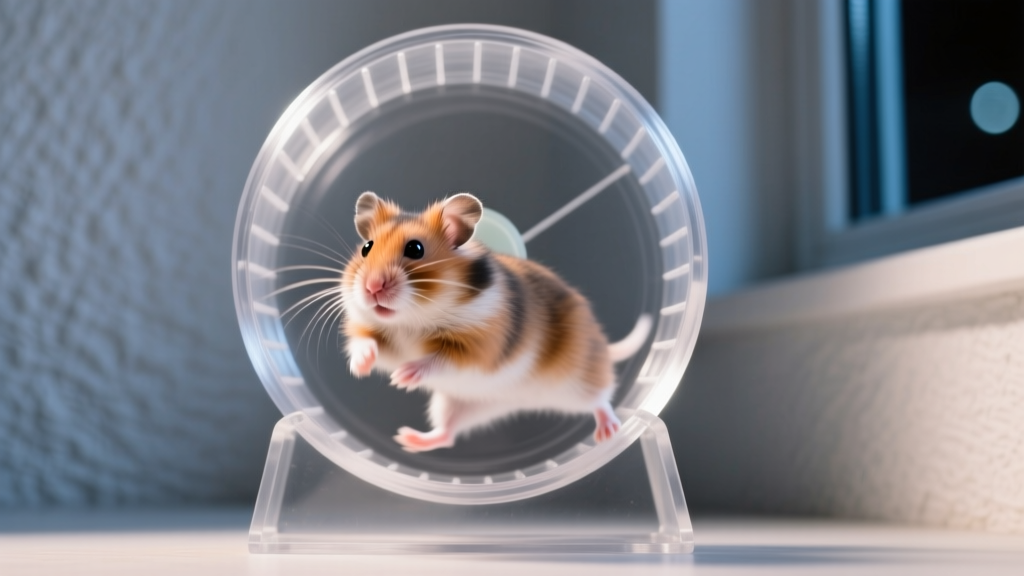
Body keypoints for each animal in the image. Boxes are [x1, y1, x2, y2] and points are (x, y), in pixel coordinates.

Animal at [341, 191, 652, 453]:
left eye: (415, 248)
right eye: (366, 247)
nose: (372, 288)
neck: (413, 318)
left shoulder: (480, 347)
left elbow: (438, 359)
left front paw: (403, 378)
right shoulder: (379, 336)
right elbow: (366, 342)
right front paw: (360, 367)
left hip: (582, 377)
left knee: (602, 399)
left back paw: (608, 433)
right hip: (460, 402)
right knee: (447, 432)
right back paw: (408, 440)